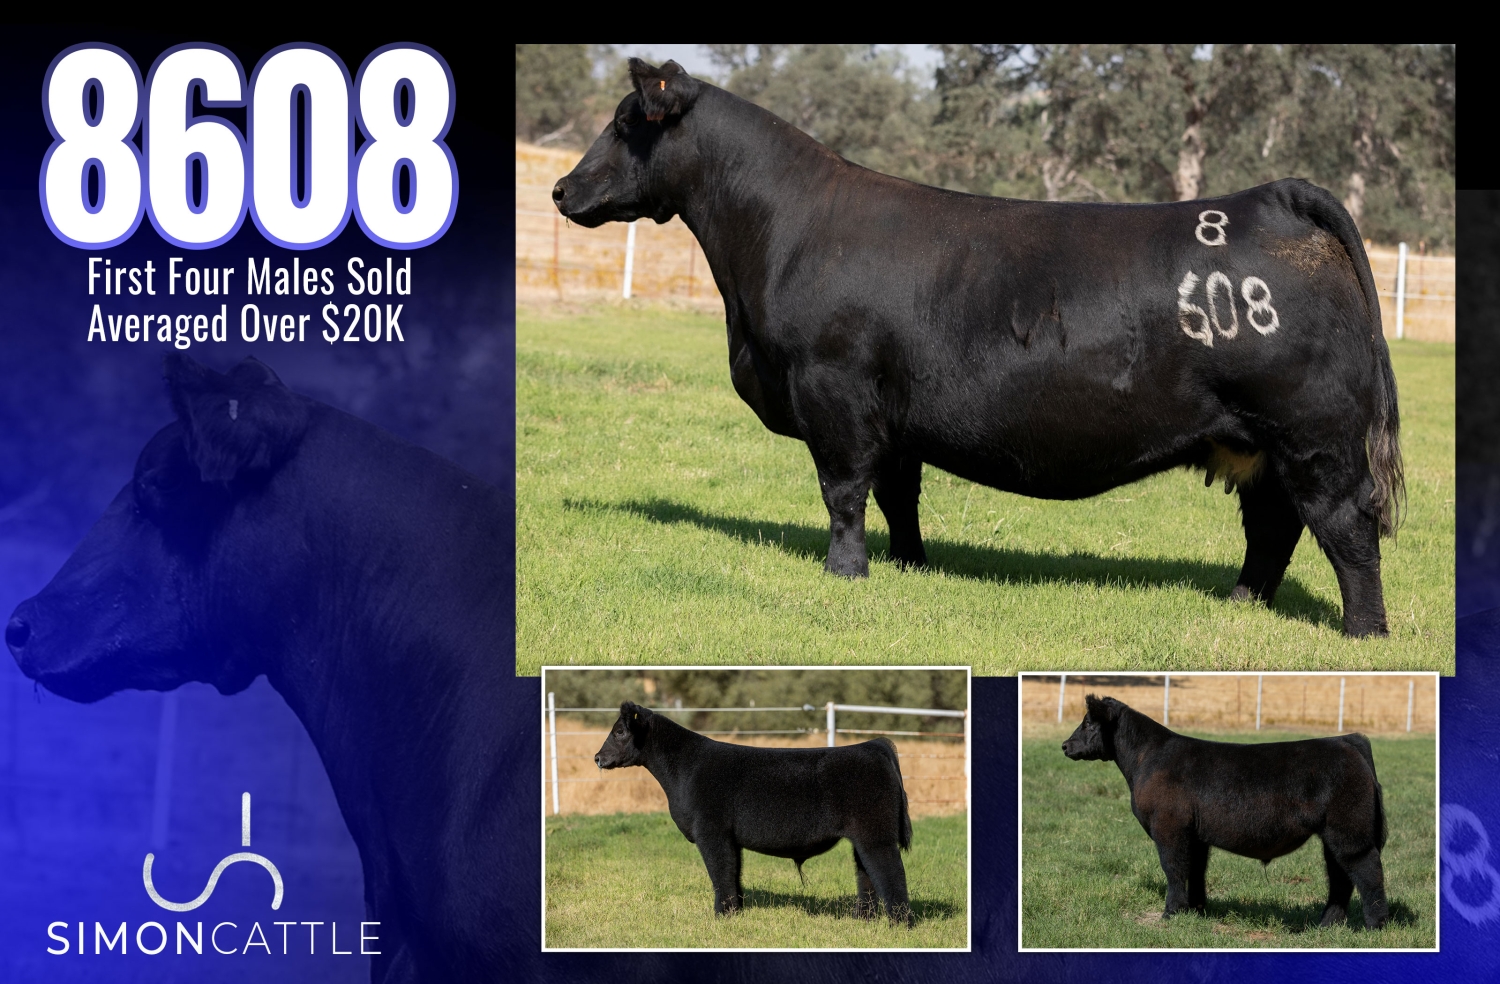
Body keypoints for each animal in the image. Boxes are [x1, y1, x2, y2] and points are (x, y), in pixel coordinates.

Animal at [552, 58, 1405, 637]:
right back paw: (1240, 603)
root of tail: (1273, 197)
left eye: (626, 122)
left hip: (1316, 436)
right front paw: (909, 566)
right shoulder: (893, 418)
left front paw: (845, 573)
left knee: (1345, 527)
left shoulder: (835, 392)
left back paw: (1363, 633)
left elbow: (843, 493)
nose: (560, 190)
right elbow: (897, 496)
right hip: (1261, 443)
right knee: (1273, 526)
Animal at [594, 700, 914, 924]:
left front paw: (721, 916)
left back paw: (900, 924)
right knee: (867, 876)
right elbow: (734, 874)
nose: (597, 757)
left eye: (619, 731)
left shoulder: (711, 832)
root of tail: (874, 745)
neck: (685, 768)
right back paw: (863, 920)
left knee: (891, 872)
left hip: (877, 835)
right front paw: (736, 913)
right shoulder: (729, 838)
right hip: (863, 838)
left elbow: (721, 873)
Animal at [1062, 693, 1388, 928]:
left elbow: (1173, 869)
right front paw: (1196, 910)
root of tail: (1347, 740)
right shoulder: (1195, 835)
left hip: (1349, 832)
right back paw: (1327, 923)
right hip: (1334, 836)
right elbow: (1196, 870)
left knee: (1367, 869)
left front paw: (1171, 914)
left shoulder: (1168, 828)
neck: (1145, 760)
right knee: (1340, 876)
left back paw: (1374, 925)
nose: (1065, 745)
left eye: (1088, 723)